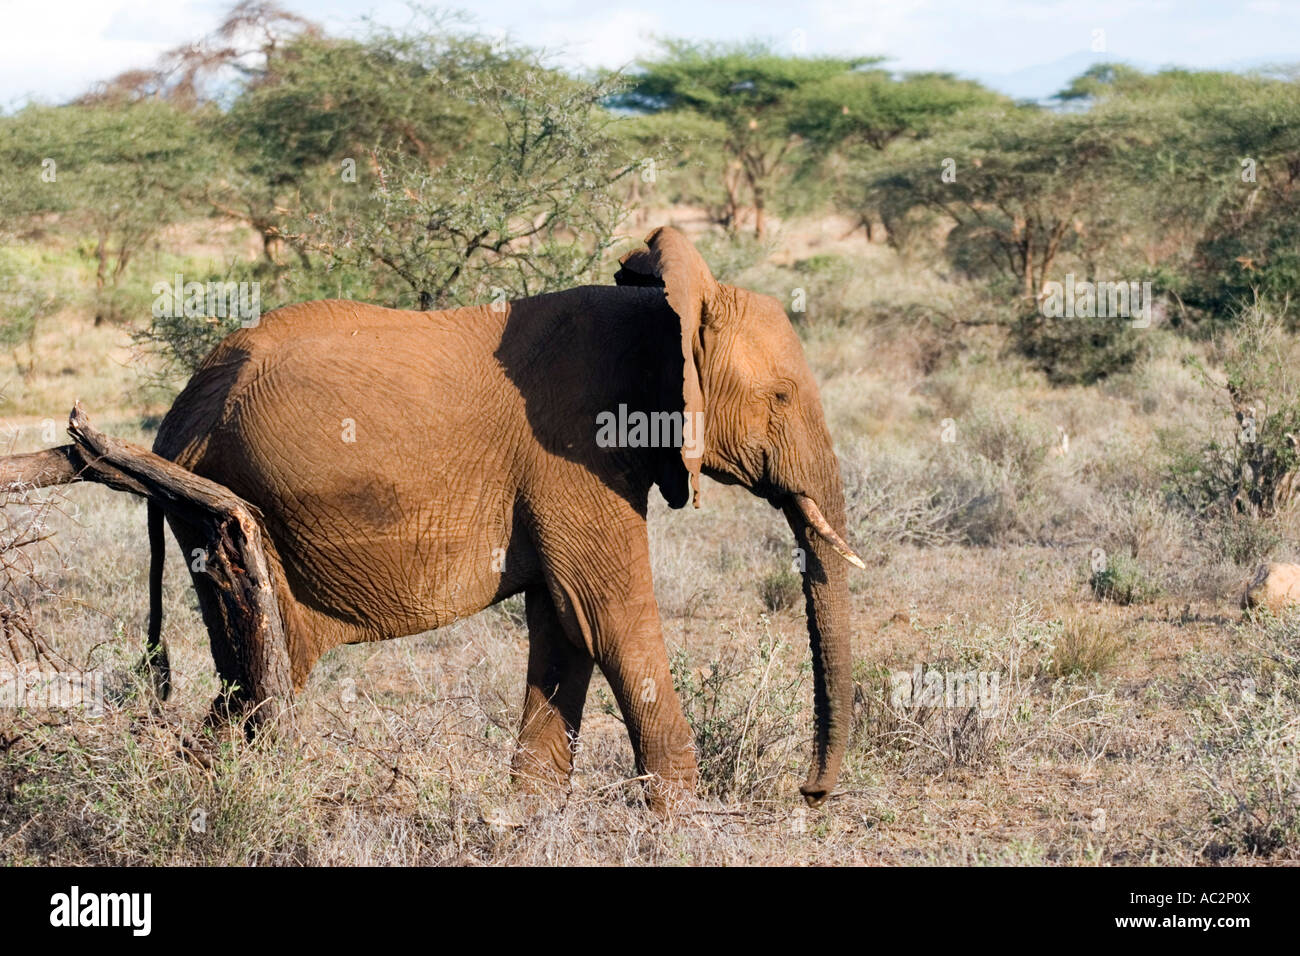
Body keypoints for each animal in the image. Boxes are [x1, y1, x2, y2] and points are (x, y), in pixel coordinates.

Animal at [146, 226, 864, 808]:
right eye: (781, 397)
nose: (810, 793)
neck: (661, 312)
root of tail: (181, 414)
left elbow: (565, 626)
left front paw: (530, 817)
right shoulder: (576, 454)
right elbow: (608, 617)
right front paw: (678, 826)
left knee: (249, 679)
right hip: (248, 513)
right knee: (264, 677)